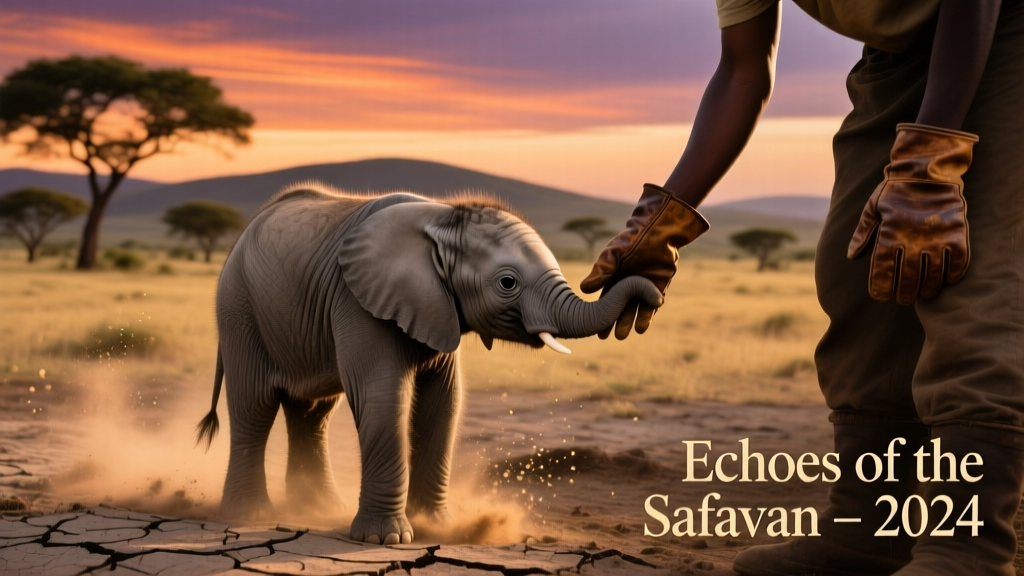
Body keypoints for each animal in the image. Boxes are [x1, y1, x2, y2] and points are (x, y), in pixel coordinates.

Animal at [194, 183, 663, 545]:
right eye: (507, 283)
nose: (653, 292)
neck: (443, 216)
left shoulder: (437, 307)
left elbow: (444, 401)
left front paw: (436, 526)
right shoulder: (359, 301)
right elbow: (384, 397)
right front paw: (385, 539)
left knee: (312, 411)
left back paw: (317, 508)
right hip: (239, 308)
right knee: (255, 403)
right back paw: (251, 515)